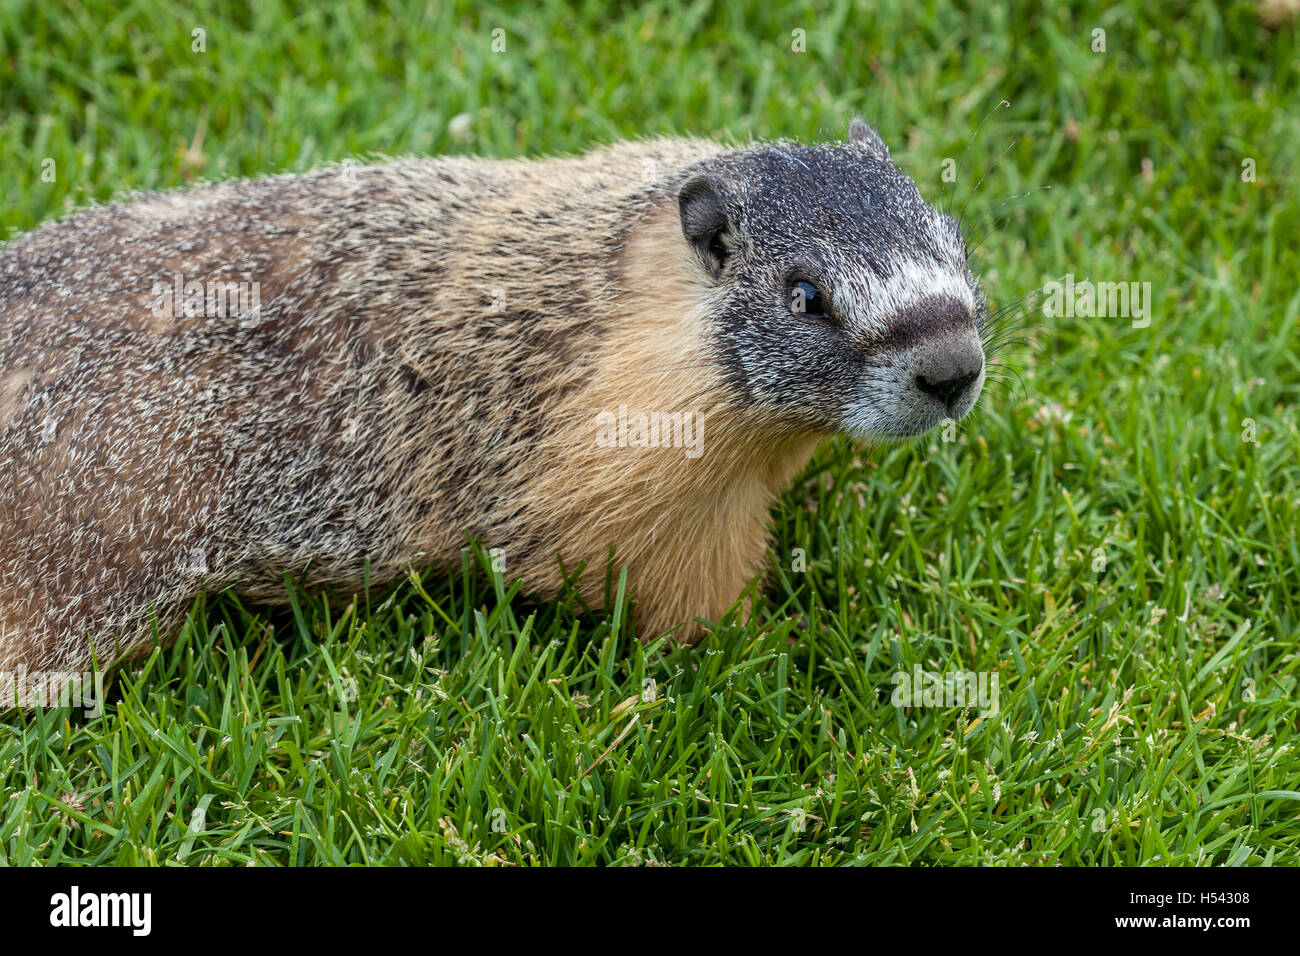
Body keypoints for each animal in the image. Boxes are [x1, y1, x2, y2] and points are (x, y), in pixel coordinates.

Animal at [0, 119, 985, 701]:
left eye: (954, 235)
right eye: (807, 296)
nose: (956, 368)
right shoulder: (639, 458)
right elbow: (675, 573)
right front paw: (760, 645)